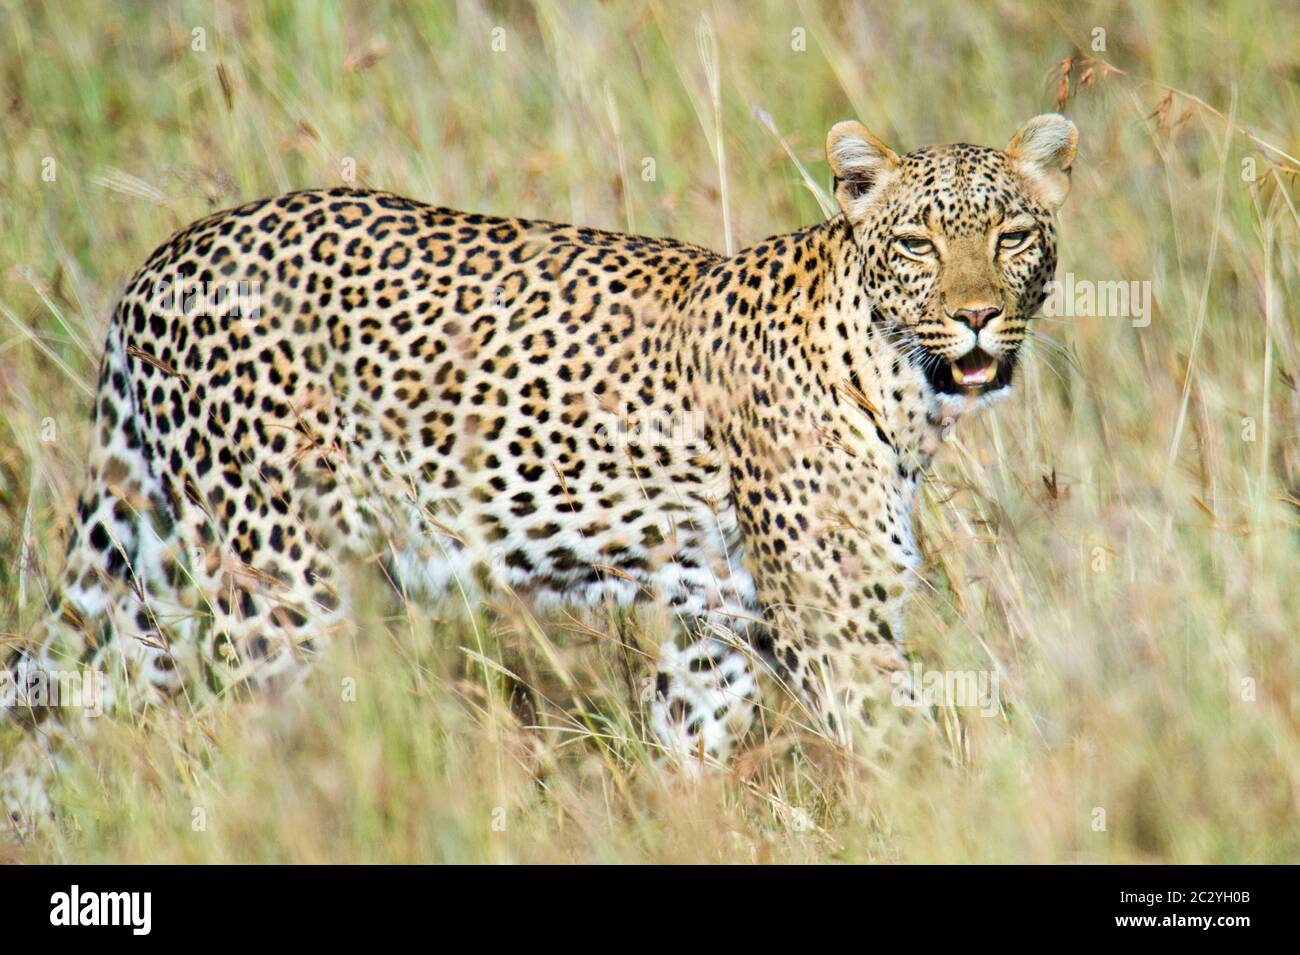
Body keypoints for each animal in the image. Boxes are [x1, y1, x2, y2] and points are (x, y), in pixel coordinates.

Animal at [2, 113, 1077, 817]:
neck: (902, 384)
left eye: (1013, 234)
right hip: (280, 586)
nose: (978, 314)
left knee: (66, 703)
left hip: (162, 580)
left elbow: (690, 747)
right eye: (919, 243)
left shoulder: (723, 626)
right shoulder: (834, 622)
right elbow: (914, 752)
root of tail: (164, 258)